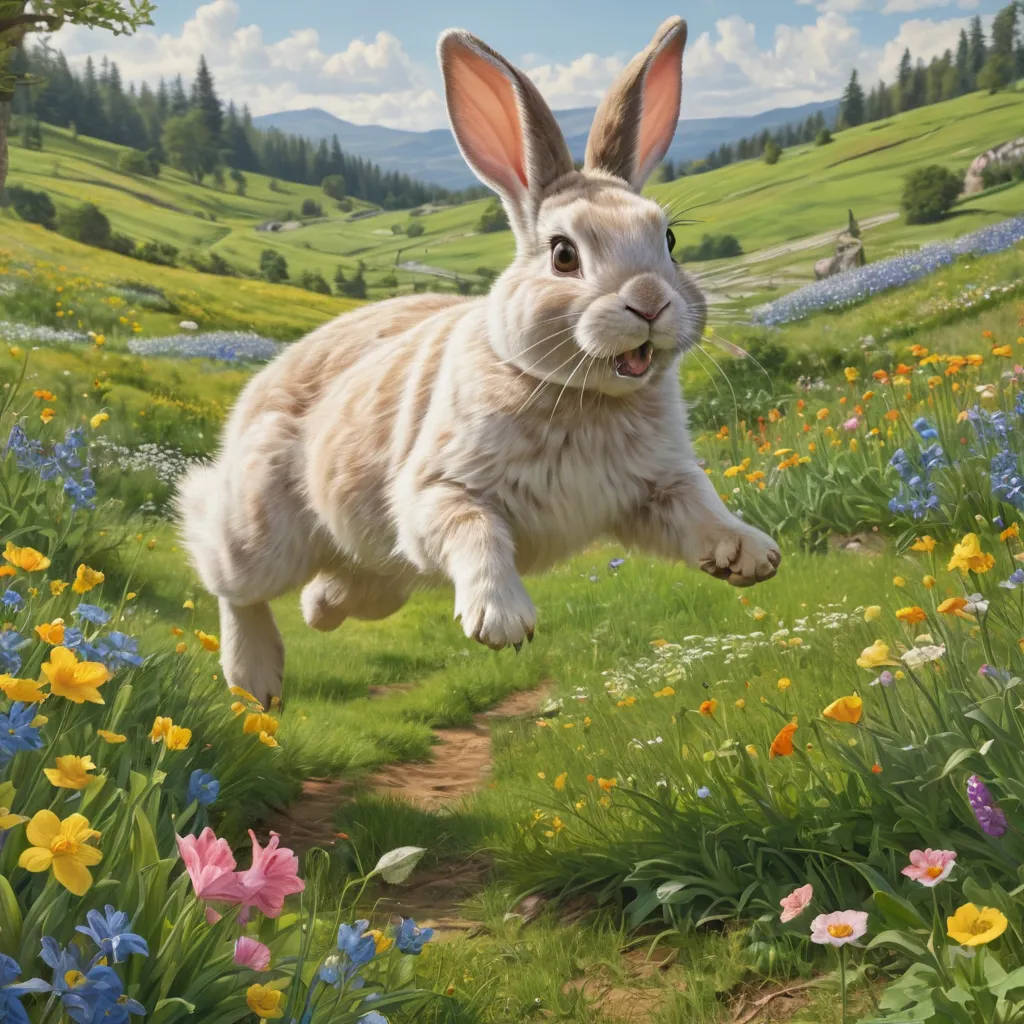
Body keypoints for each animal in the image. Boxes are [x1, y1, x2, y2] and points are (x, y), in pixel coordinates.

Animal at [176, 15, 782, 708]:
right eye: (563, 254)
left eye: (670, 240)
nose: (651, 302)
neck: (578, 393)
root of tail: (251, 402)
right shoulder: (438, 491)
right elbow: (476, 530)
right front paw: (503, 622)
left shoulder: (659, 487)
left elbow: (702, 510)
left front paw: (751, 556)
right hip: (262, 530)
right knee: (224, 566)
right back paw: (255, 680)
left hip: (378, 563)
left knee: (354, 586)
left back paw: (320, 607)